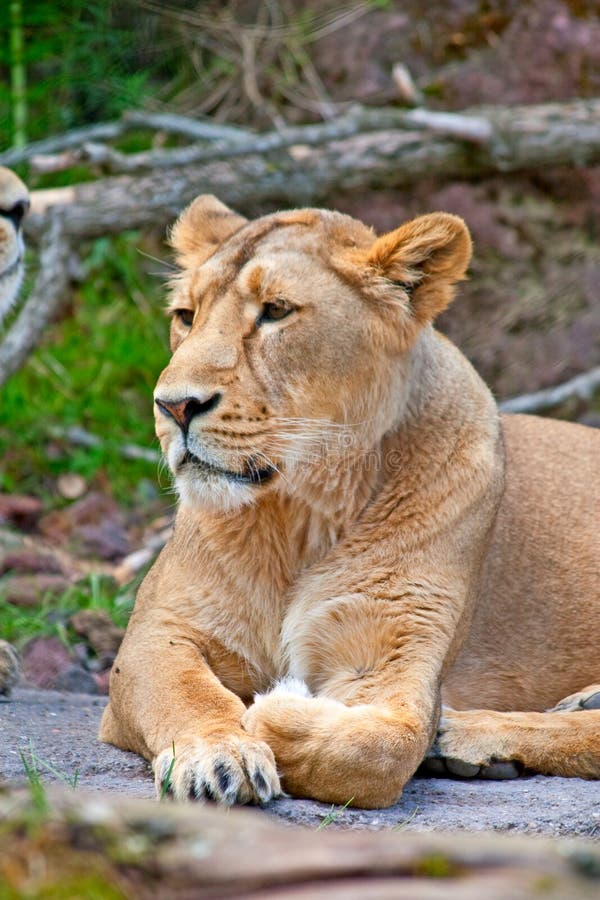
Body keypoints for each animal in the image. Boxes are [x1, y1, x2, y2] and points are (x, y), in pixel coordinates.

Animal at [100, 196, 600, 808]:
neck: (302, 511)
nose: (173, 406)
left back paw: (466, 735)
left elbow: (379, 747)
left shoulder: (394, 653)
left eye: (276, 311)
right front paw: (222, 754)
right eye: (185, 315)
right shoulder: (158, 633)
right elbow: (187, 693)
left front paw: (277, 711)